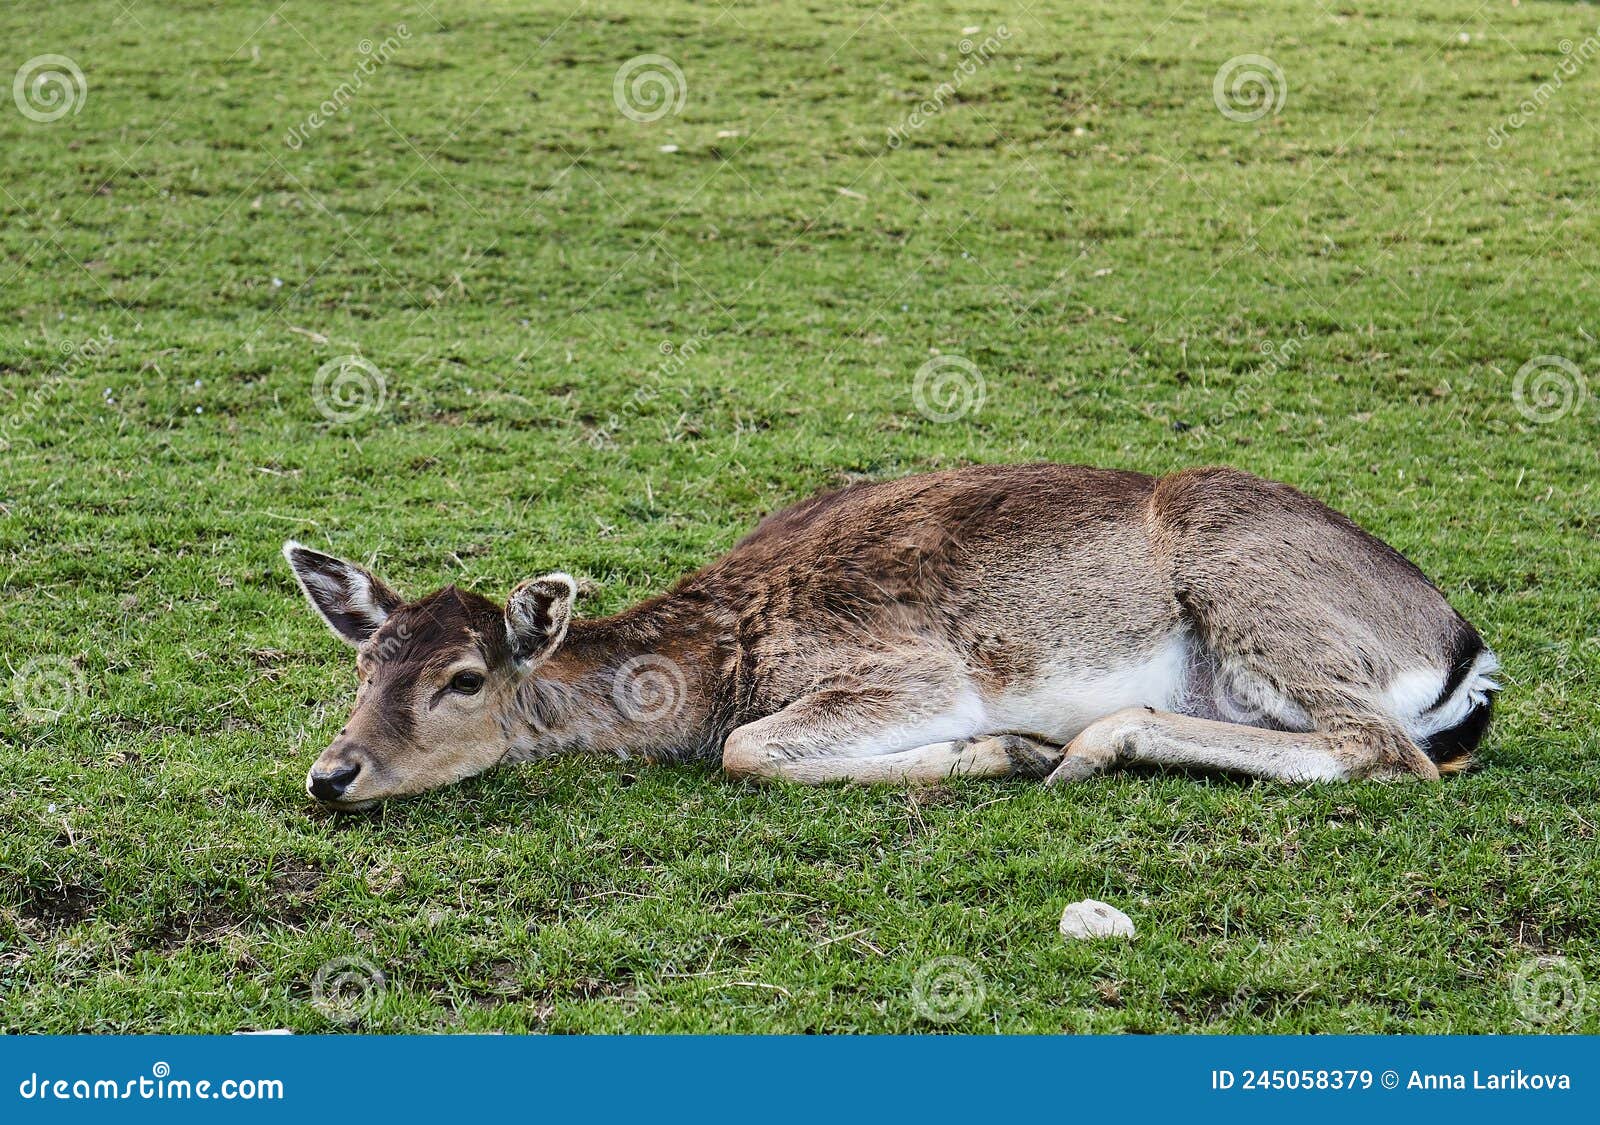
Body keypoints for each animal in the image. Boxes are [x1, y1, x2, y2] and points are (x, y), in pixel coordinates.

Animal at [283, 463, 1499, 810]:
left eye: (464, 678)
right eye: (363, 659)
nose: (332, 776)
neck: (716, 664)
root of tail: (1462, 651)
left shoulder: (911, 668)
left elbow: (748, 749)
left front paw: (1007, 748)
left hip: (1255, 599)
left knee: (1379, 748)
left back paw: (1085, 744)